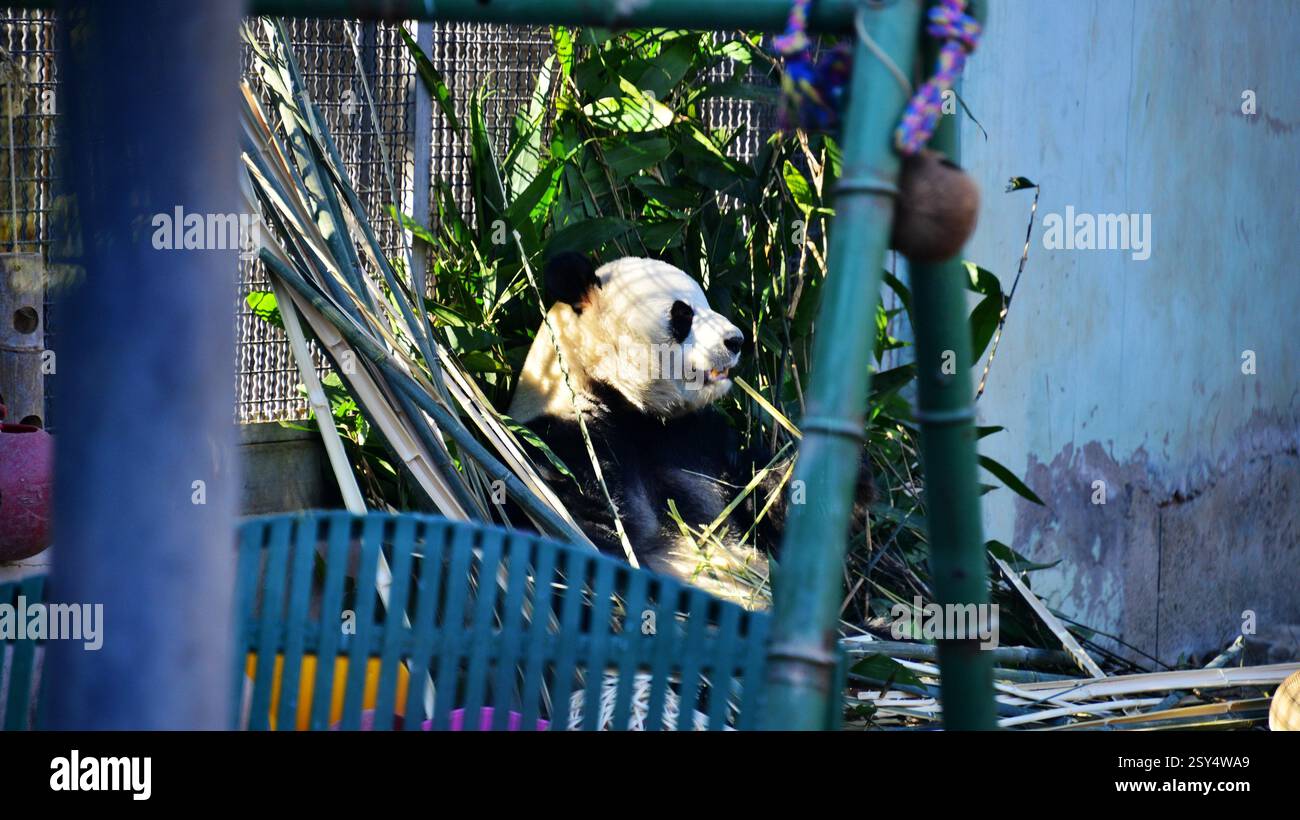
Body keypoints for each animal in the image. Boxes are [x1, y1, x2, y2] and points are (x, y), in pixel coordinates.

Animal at [509, 253, 872, 605]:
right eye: (682, 314)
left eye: (707, 303)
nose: (737, 341)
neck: (624, 404)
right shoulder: (566, 447)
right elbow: (591, 537)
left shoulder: (698, 437)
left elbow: (759, 502)